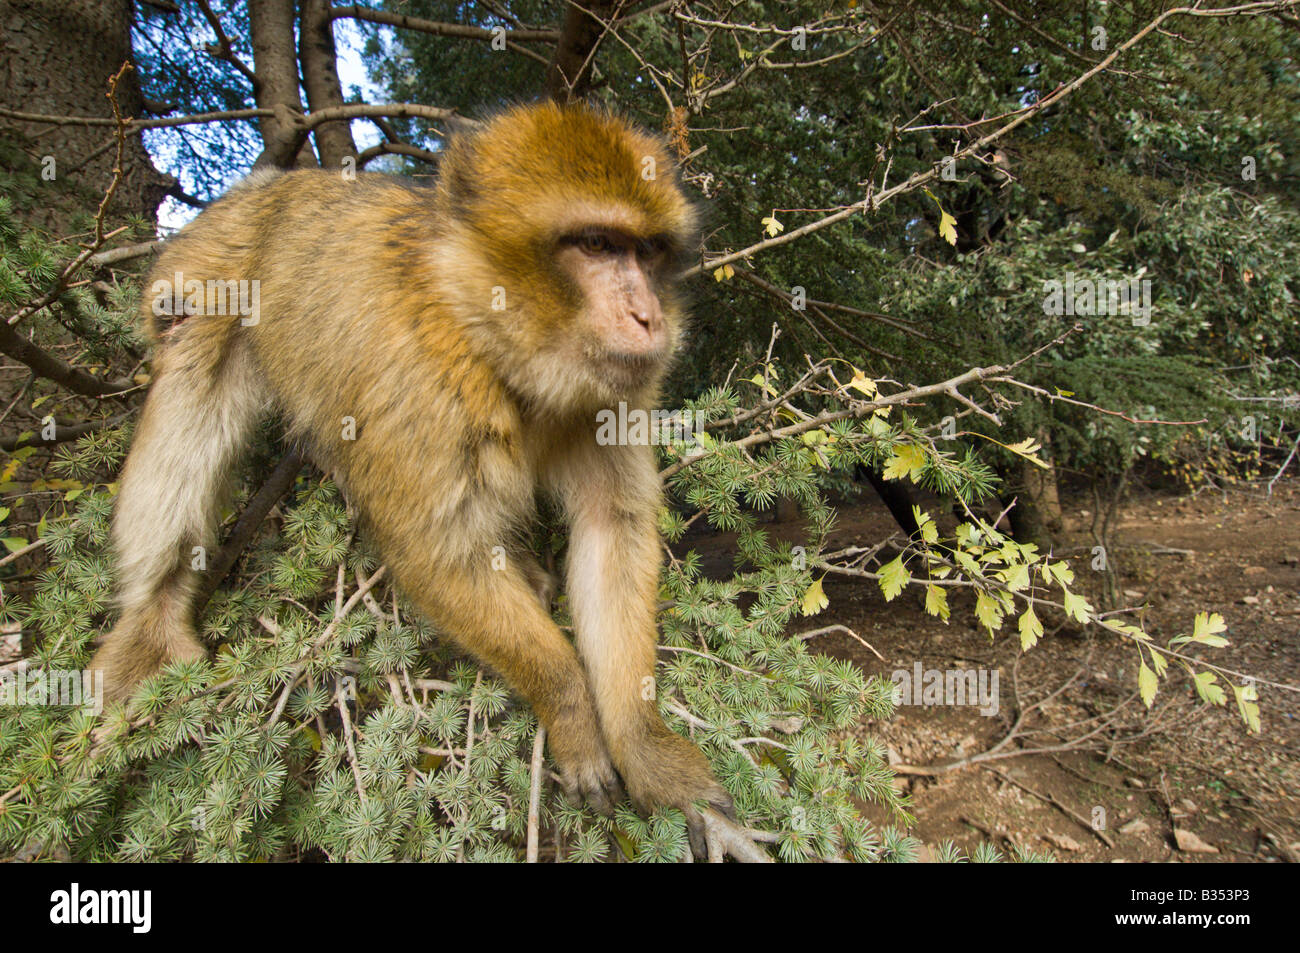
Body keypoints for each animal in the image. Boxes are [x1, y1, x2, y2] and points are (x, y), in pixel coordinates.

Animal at [89, 102, 734, 846]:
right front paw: (569, 706)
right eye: (597, 245)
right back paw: (154, 613)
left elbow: (612, 527)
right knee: (195, 373)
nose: (648, 316)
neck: (490, 336)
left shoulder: (616, 395)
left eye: (647, 253)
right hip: (204, 269)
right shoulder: (426, 380)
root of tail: (270, 188)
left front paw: (641, 744)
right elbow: (435, 551)